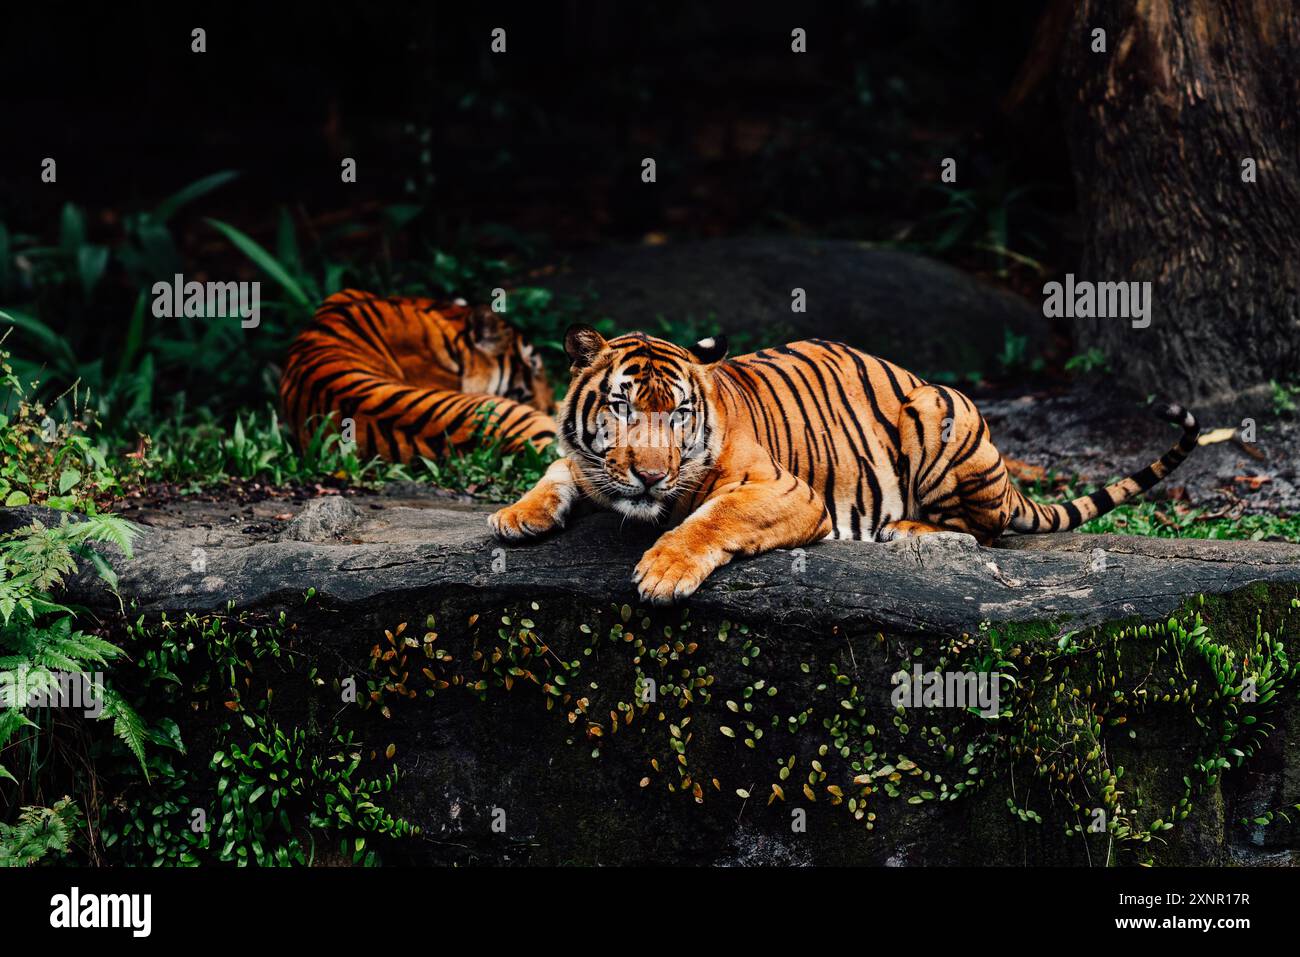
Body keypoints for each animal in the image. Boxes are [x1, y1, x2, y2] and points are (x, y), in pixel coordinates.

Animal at [489, 326, 1199, 605]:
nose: (653, 476)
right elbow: (559, 469)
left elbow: (710, 519)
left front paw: (663, 571)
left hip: (941, 406)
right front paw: (514, 516)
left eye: (681, 414)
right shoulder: (587, 462)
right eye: (623, 408)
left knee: (985, 529)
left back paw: (906, 530)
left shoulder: (787, 492)